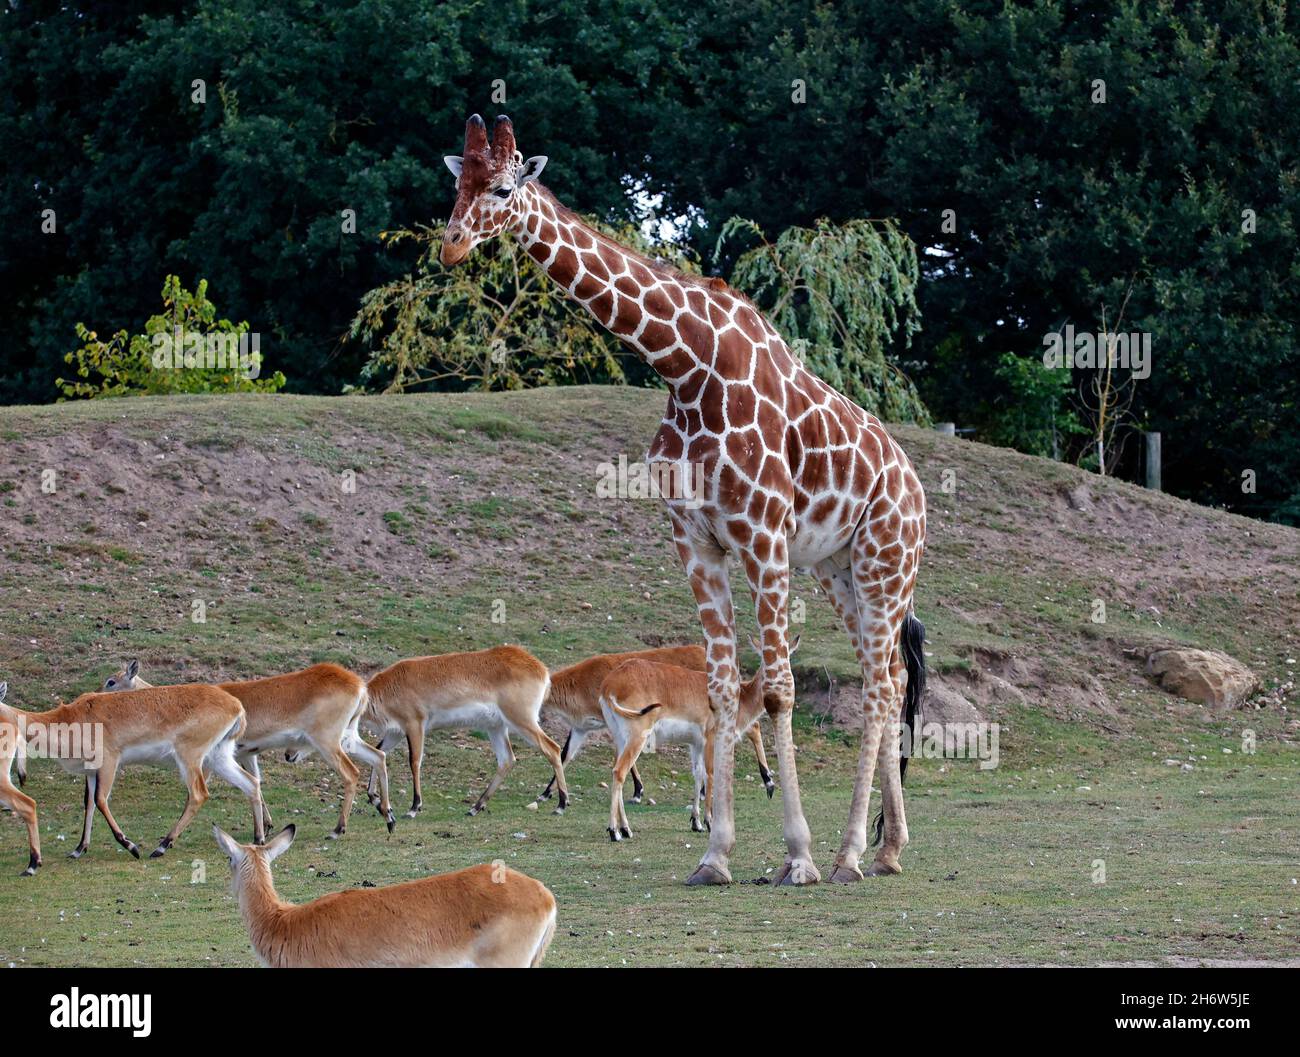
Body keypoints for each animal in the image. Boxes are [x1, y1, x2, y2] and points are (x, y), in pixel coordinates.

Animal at [439, 114, 927, 885]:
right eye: (456, 184)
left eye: (505, 187)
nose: (452, 244)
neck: (685, 362)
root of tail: (914, 483)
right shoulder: (696, 541)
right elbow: (723, 690)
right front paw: (715, 854)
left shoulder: (762, 534)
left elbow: (778, 688)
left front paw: (796, 856)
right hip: (840, 570)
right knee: (888, 675)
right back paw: (885, 848)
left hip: (886, 560)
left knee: (880, 686)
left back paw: (848, 854)